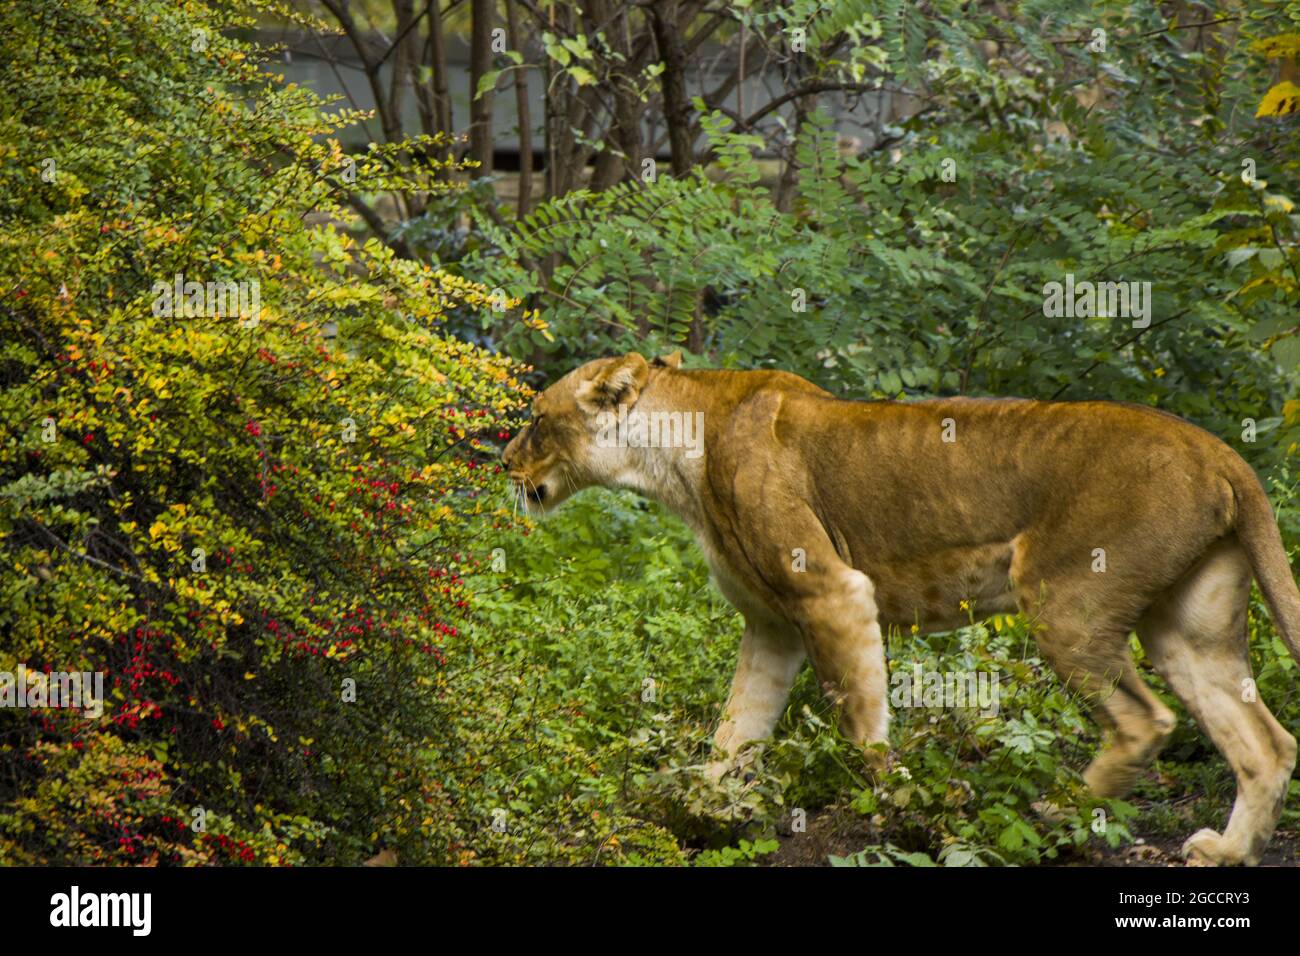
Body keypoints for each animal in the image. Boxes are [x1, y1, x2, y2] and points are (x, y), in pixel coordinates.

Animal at [501, 350, 1300, 866]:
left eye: (536, 419)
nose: (503, 463)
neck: (672, 460)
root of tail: (1222, 453)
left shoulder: (832, 591)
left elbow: (861, 729)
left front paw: (903, 811)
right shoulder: (772, 625)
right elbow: (734, 734)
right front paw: (697, 813)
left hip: (1066, 603)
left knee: (1144, 721)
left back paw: (1049, 826)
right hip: (1188, 628)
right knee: (1264, 743)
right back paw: (1228, 852)